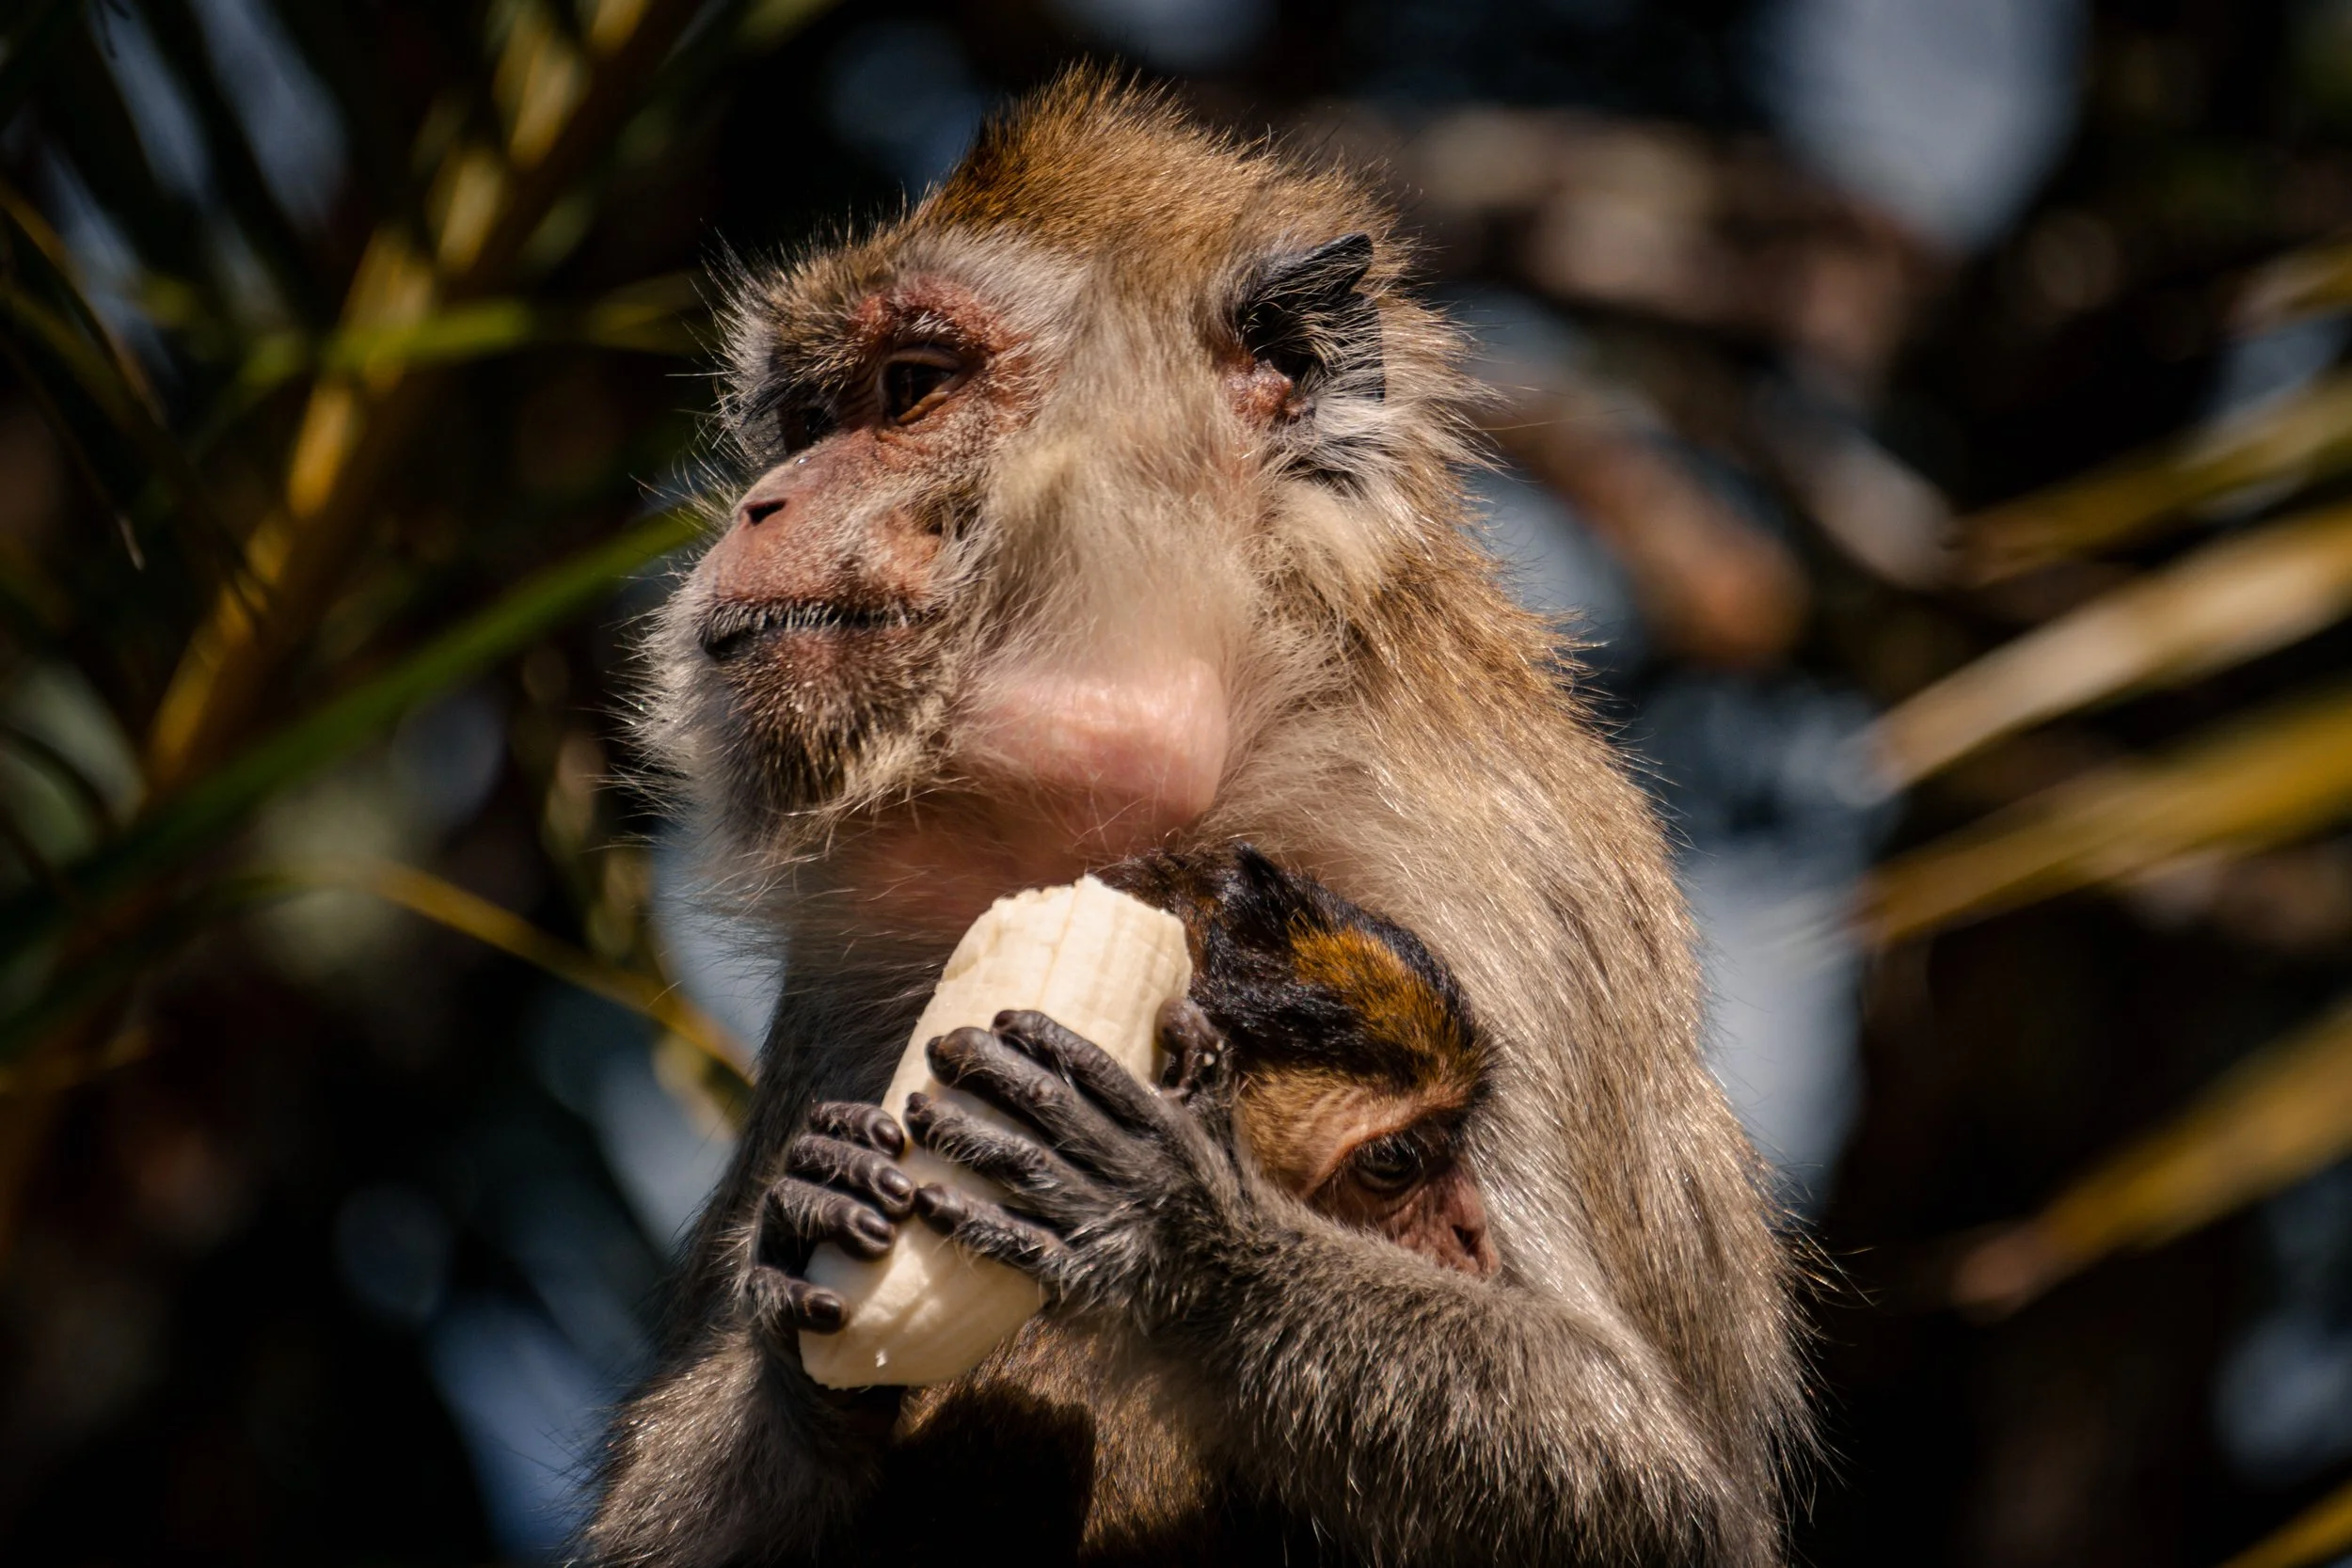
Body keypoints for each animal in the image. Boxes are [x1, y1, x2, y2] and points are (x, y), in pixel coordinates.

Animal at [589, 69, 1803, 1568]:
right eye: (809, 419)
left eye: (910, 389)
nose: (765, 503)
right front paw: (804, 1278)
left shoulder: (1475, 884)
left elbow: (1655, 1485)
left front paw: (1189, 1242)